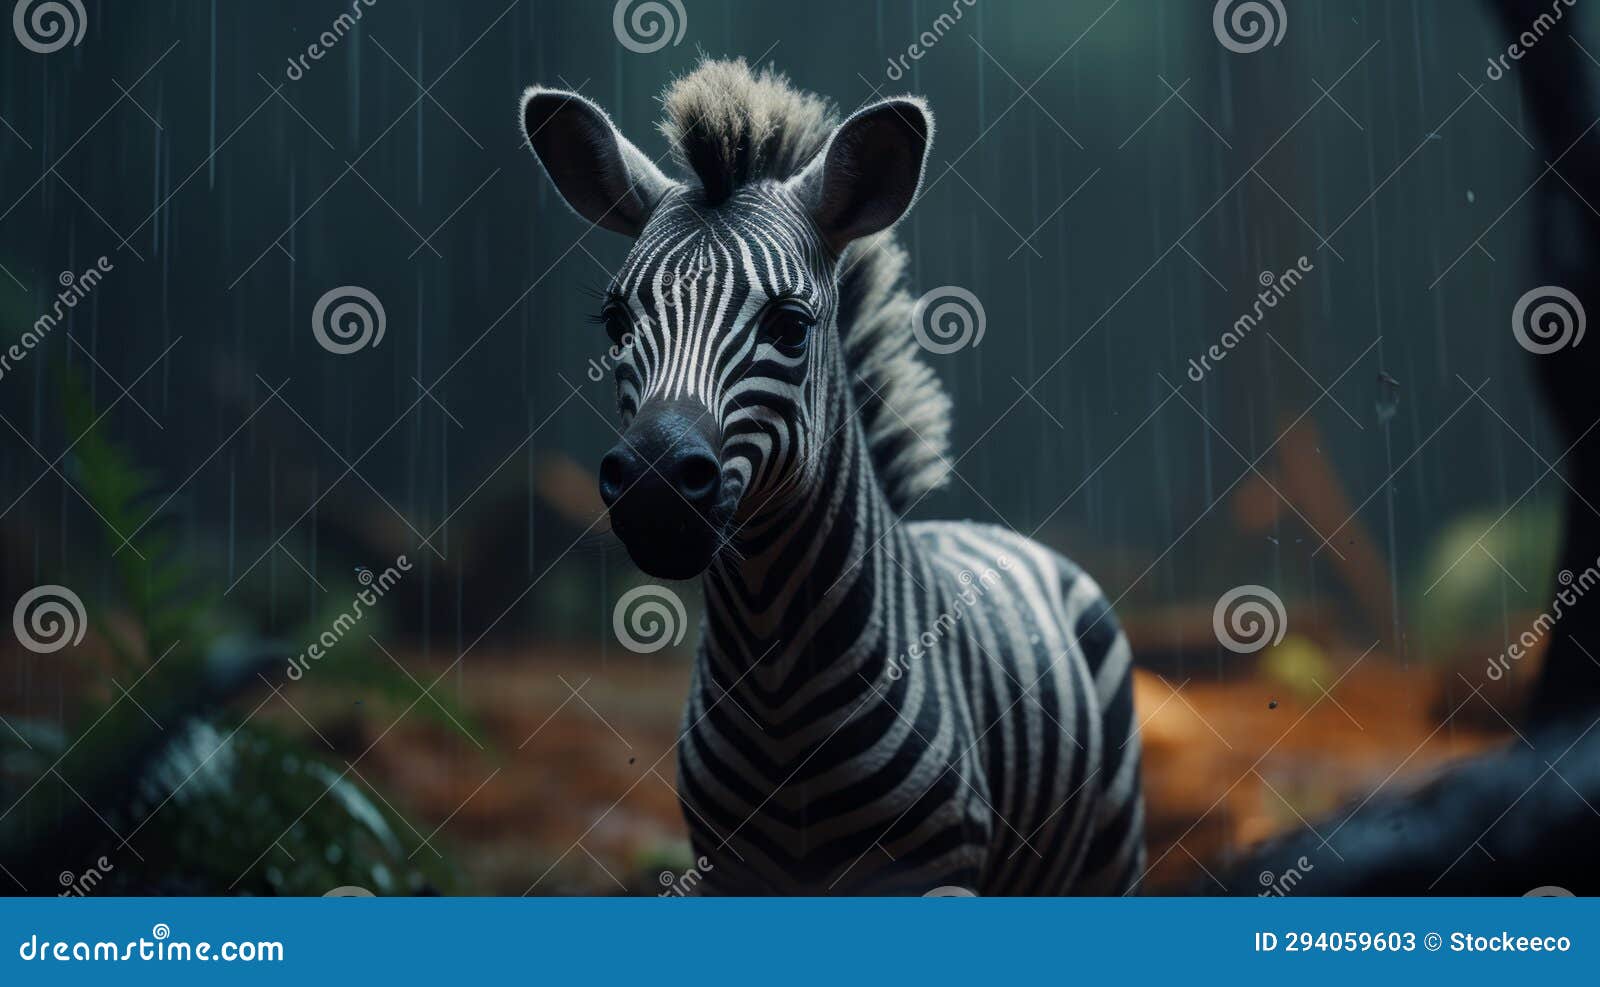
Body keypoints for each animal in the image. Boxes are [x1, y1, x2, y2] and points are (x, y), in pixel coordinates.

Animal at [519, 59, 1144, 895]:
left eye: (790, 325)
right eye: (617, 323)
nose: (654, 486)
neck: (776, 668)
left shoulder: (936, 871)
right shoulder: (724, 872)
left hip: (1108, 853)